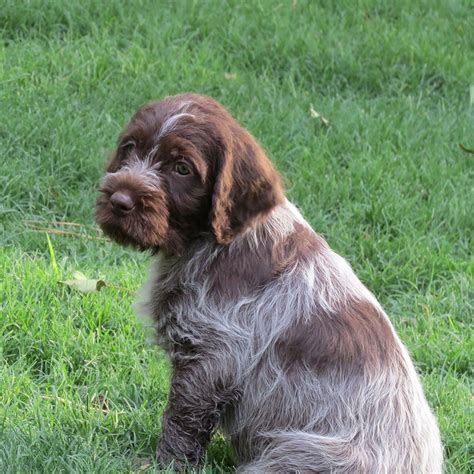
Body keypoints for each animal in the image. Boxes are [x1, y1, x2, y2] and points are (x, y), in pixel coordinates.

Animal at [96, 93, 443, 473]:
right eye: (129, 147)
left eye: (182, 168)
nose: (119, 201)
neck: (212, 242)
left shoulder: (213, 355)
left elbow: (181, 420)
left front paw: (166, 464)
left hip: (297, 451)